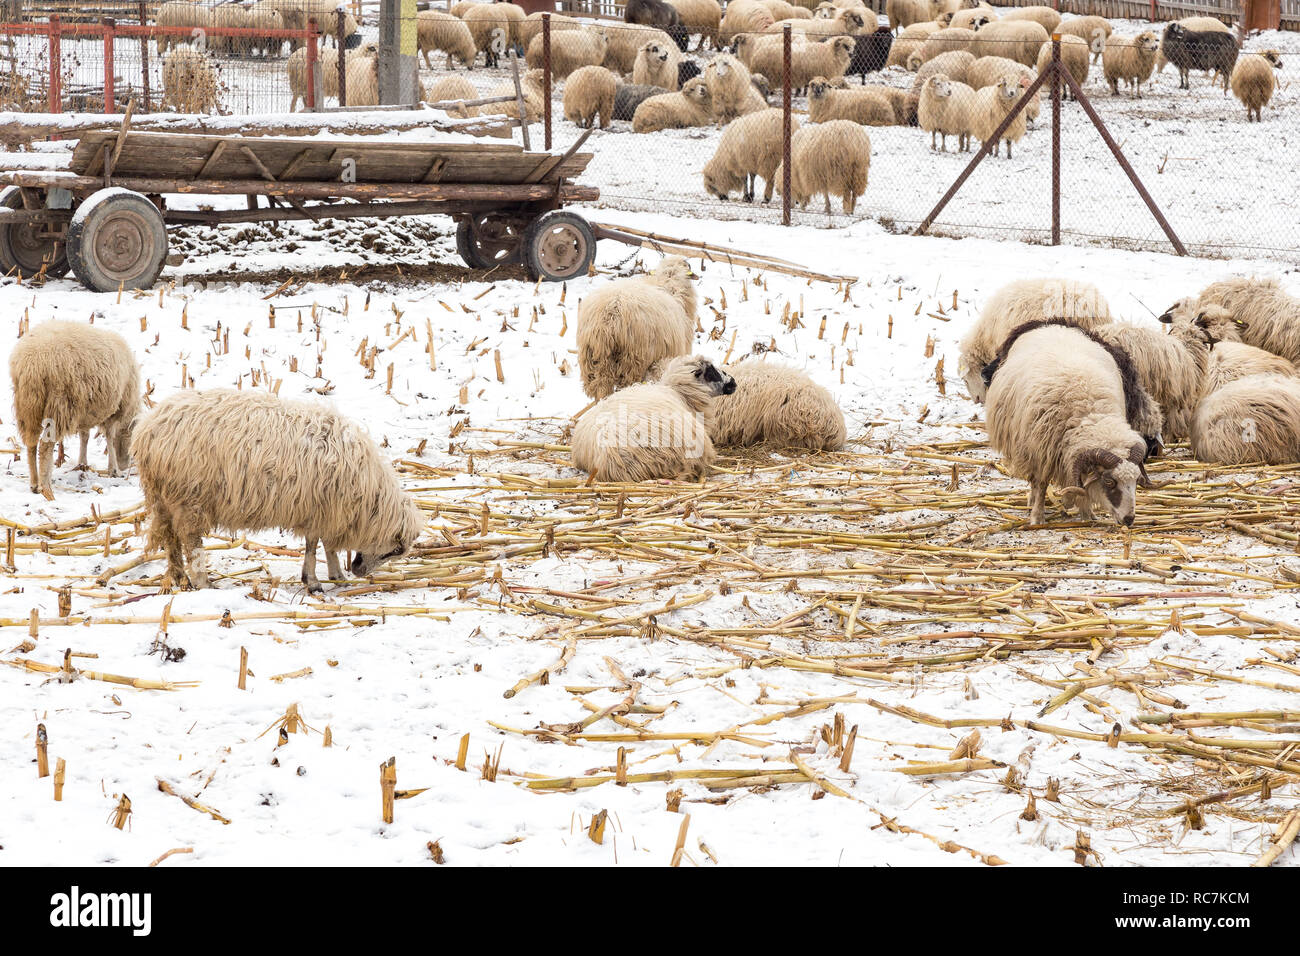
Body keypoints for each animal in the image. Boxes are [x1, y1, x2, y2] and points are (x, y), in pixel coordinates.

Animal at [9, 321, 139, 499]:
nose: (125, 466)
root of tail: (32, 362)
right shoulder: (116, 409)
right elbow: (109, 437)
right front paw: (114, 470)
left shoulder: (86, 413)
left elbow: (85, 436)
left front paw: (82, 463)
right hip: (59, 405)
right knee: (45, 446)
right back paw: (46, 486)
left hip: (28, 405)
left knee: (31, 443)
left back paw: (34, 484)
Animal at [131, 390, 422, 592]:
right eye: (396, 549)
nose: (359, 571)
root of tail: (148, 429)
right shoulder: (322, 508)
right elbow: (314, 546)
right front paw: (314, 582)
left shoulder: (326, 510)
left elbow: (324, 545)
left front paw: (335, 575)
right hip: (189, 498)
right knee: (191, 541)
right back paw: (203, 582)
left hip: (164, 498)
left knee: (171, 539)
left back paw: (179, 577)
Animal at [986, 323, 1153, 526]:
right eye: (1109, 482)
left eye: (1136, 479)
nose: (1129, 519)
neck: (1090, 413)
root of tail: (1052, 325)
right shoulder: (1041, 452)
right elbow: (1041, 484)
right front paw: (1037, 517)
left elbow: (1081, 487)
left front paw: (1087, 513)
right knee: (1034, 482)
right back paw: (1032, 502)